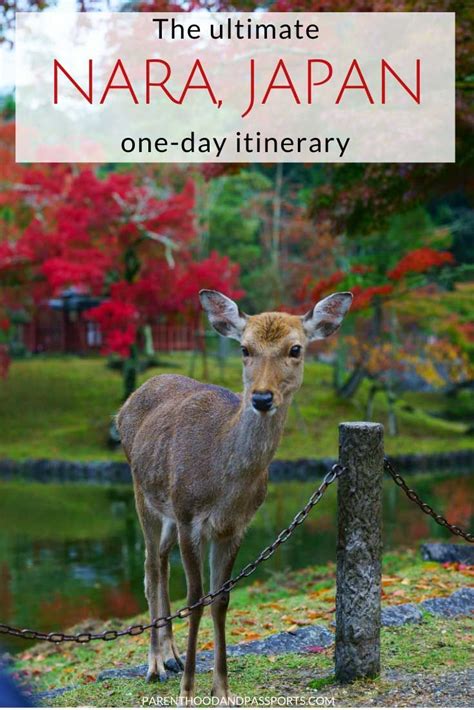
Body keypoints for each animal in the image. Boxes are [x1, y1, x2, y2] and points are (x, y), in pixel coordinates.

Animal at [116, 289, 352, 704]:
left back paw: (172, 656)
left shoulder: (235, 526)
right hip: (143, 493)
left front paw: (222, 689)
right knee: (149, 569)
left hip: (165, 511)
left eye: (295, 348)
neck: (222, 484)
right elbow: (195, 599)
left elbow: (221, 600)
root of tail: (126, 404)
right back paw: (155, 665)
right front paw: (188, 692)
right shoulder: (189, 517)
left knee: (160, 563)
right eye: (244, 348)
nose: (261, 397)